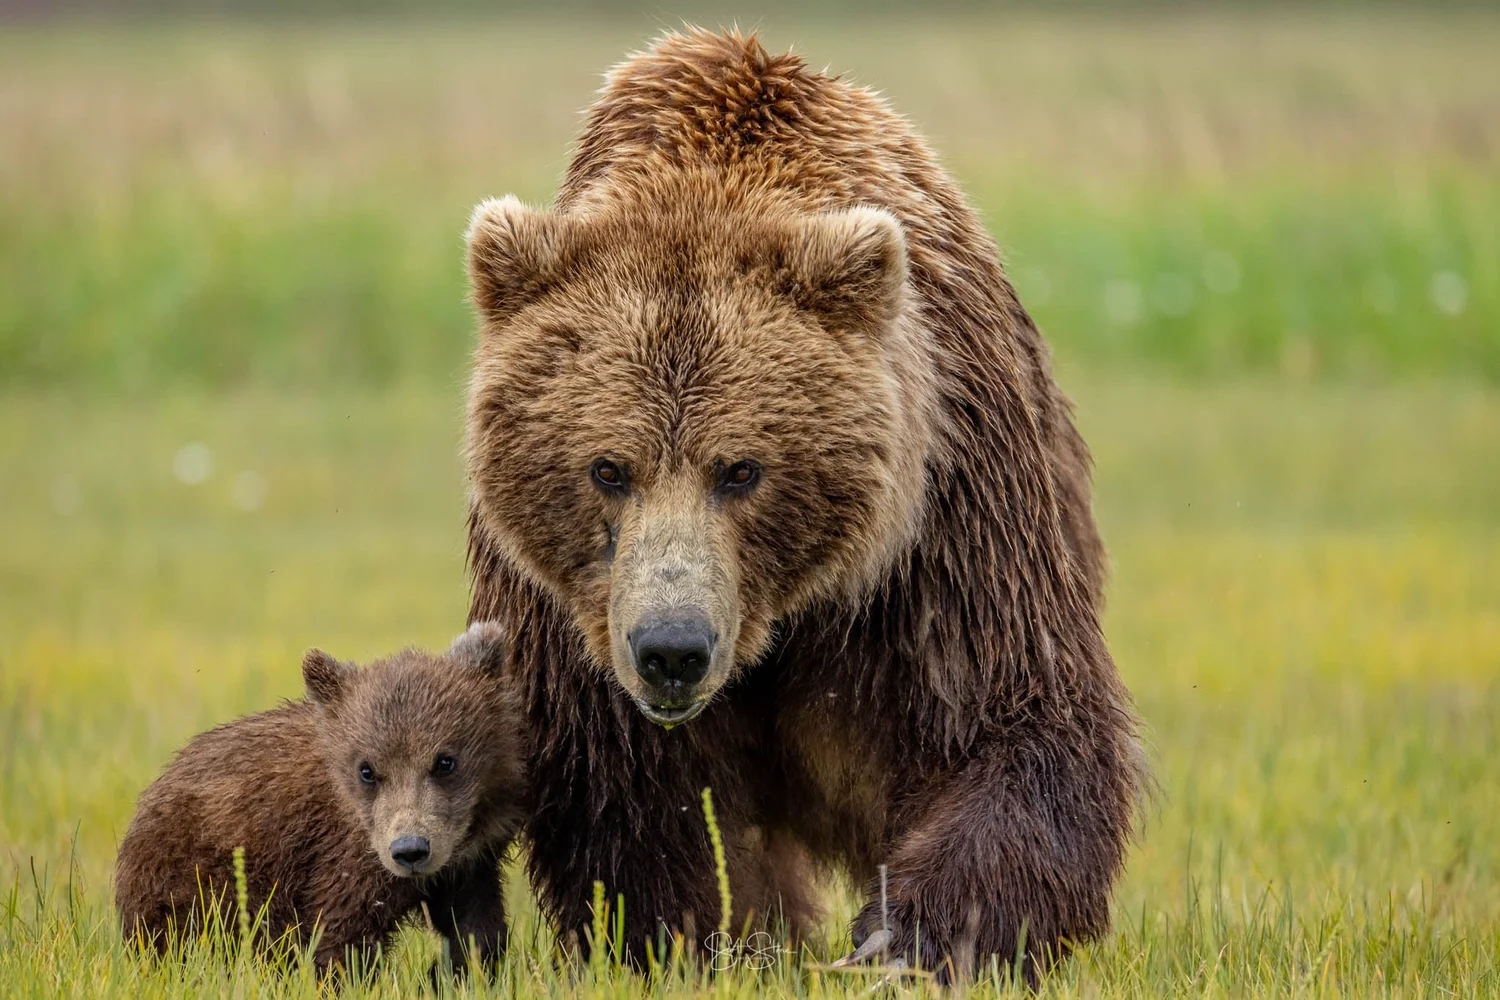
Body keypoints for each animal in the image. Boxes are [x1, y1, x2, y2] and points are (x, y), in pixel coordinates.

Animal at [114, 623, 526, 974]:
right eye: (367, 770)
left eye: (444, 761)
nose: (410, 850)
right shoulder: (341, 852)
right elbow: (341, 934)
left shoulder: (469, 857)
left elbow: (475, 927)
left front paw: (452, 970)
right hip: (192, 872)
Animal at [462, 28, 1142, 982]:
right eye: (608, 469)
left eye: (741, 470)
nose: (672, 650)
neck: (782, 619)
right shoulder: (571, 615)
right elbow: (633, 798)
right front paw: (705, 941)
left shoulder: (938, 534)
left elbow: (1011, 724)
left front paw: (908, 939)